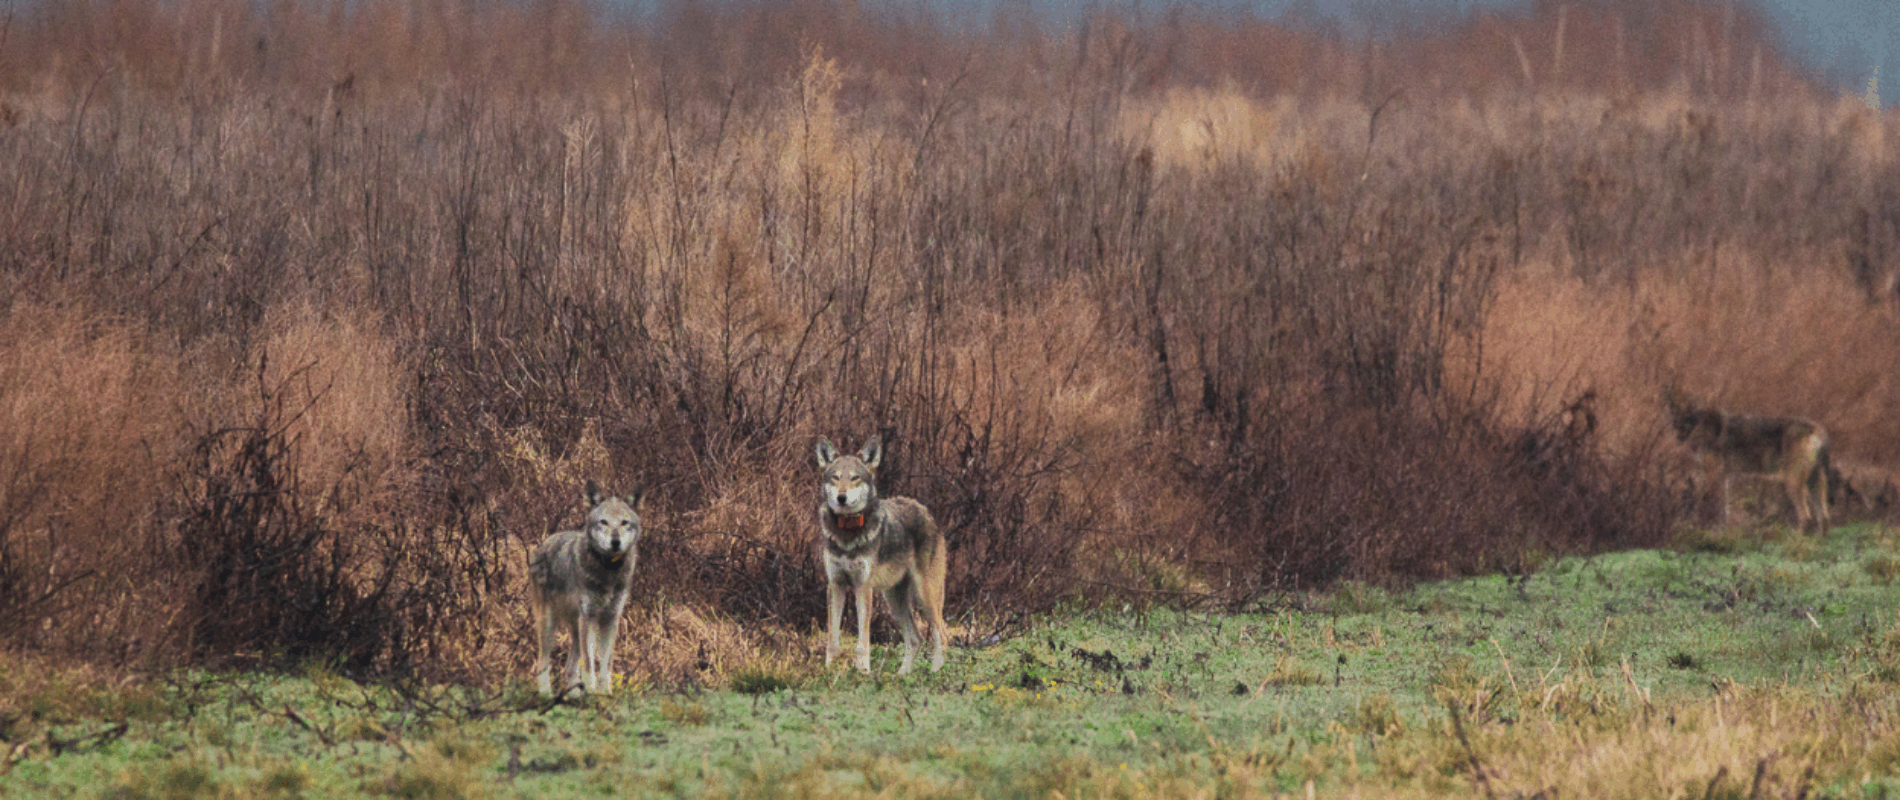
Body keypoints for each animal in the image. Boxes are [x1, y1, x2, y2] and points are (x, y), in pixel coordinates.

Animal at [528, 480, 645, 696]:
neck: (608, 571)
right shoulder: (589, 617)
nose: (615, 542)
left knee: (569, 669)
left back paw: (574, 697)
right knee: (542, 663)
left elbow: (606, 664)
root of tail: (545, 541)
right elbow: (590, 664)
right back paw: (547, 695)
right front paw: (592, 693)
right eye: (604, 522)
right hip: (550, 625)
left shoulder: (611, 618)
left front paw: (604, 693)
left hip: (576, 627)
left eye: (624, 522)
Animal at [815, 434, 947, 674]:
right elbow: (833, 640)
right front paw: (829, 671)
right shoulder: (835, 586)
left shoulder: (863, 588)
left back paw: (935, 674)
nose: (841, 497)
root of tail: (926, 511)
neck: (847, 533)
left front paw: (863, 673)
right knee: (915, 638)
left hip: (925, 596)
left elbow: (862, 641)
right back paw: (902, 676)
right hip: (894, 599)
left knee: (941, 633)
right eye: (836, 478)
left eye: (855, 478)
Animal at [1666, 390, 1830, 534]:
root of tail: (1817, 429)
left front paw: (1713, 531)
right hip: (1814, 482)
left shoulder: (1713, 475)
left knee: (1806, 517)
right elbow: (1724, 510)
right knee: (1823, 517)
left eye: (1687, 418)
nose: (1677, 433)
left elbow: (1714, 507)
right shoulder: (1724, 477)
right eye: (1675, 415)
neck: (1698, 425)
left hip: (1792, 483)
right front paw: (1724, 533)